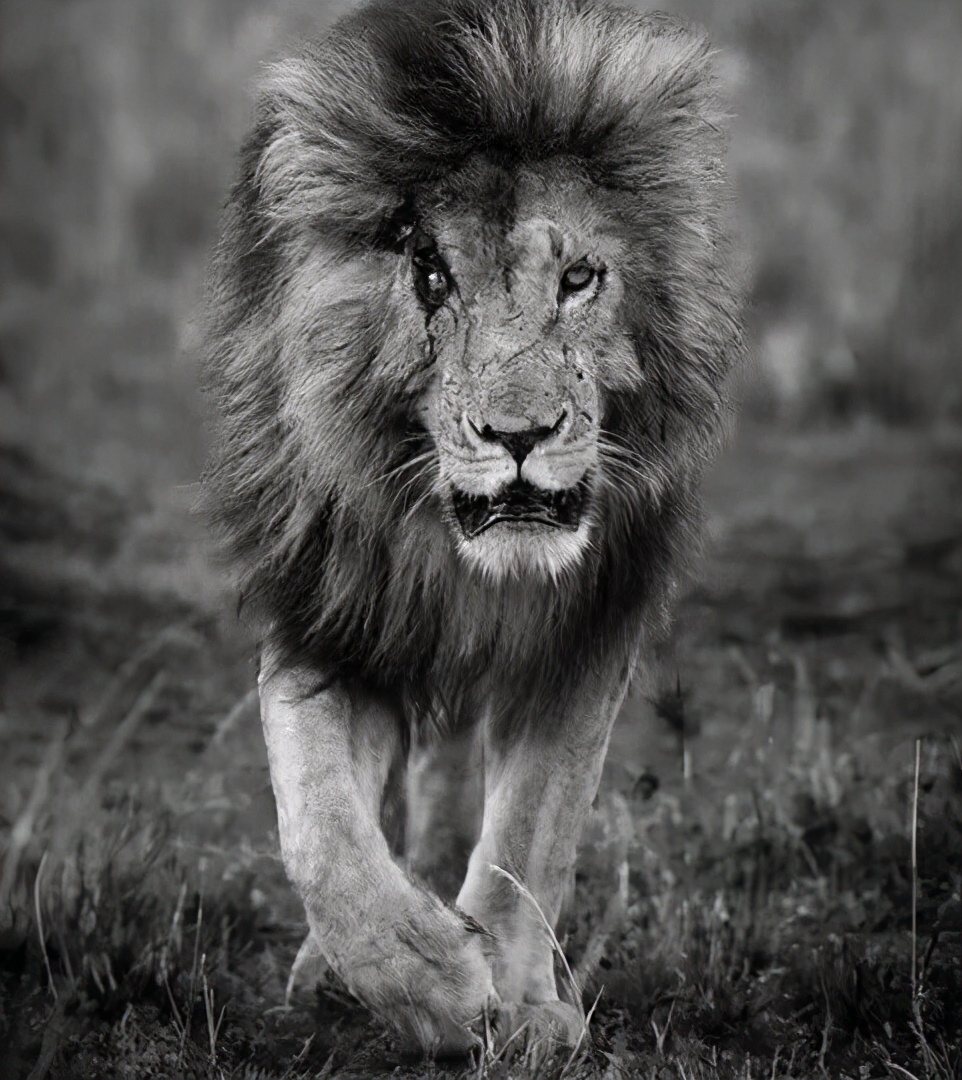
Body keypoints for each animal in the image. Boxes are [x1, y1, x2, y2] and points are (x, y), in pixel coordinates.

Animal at [203, 0, 741, 1056]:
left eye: (579, 277)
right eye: (431, 274)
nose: (519, 435)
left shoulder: (587, 630)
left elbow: (534, 829)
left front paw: (521, 1004)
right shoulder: (328, 611)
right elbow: (320, 829)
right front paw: (429, 980)